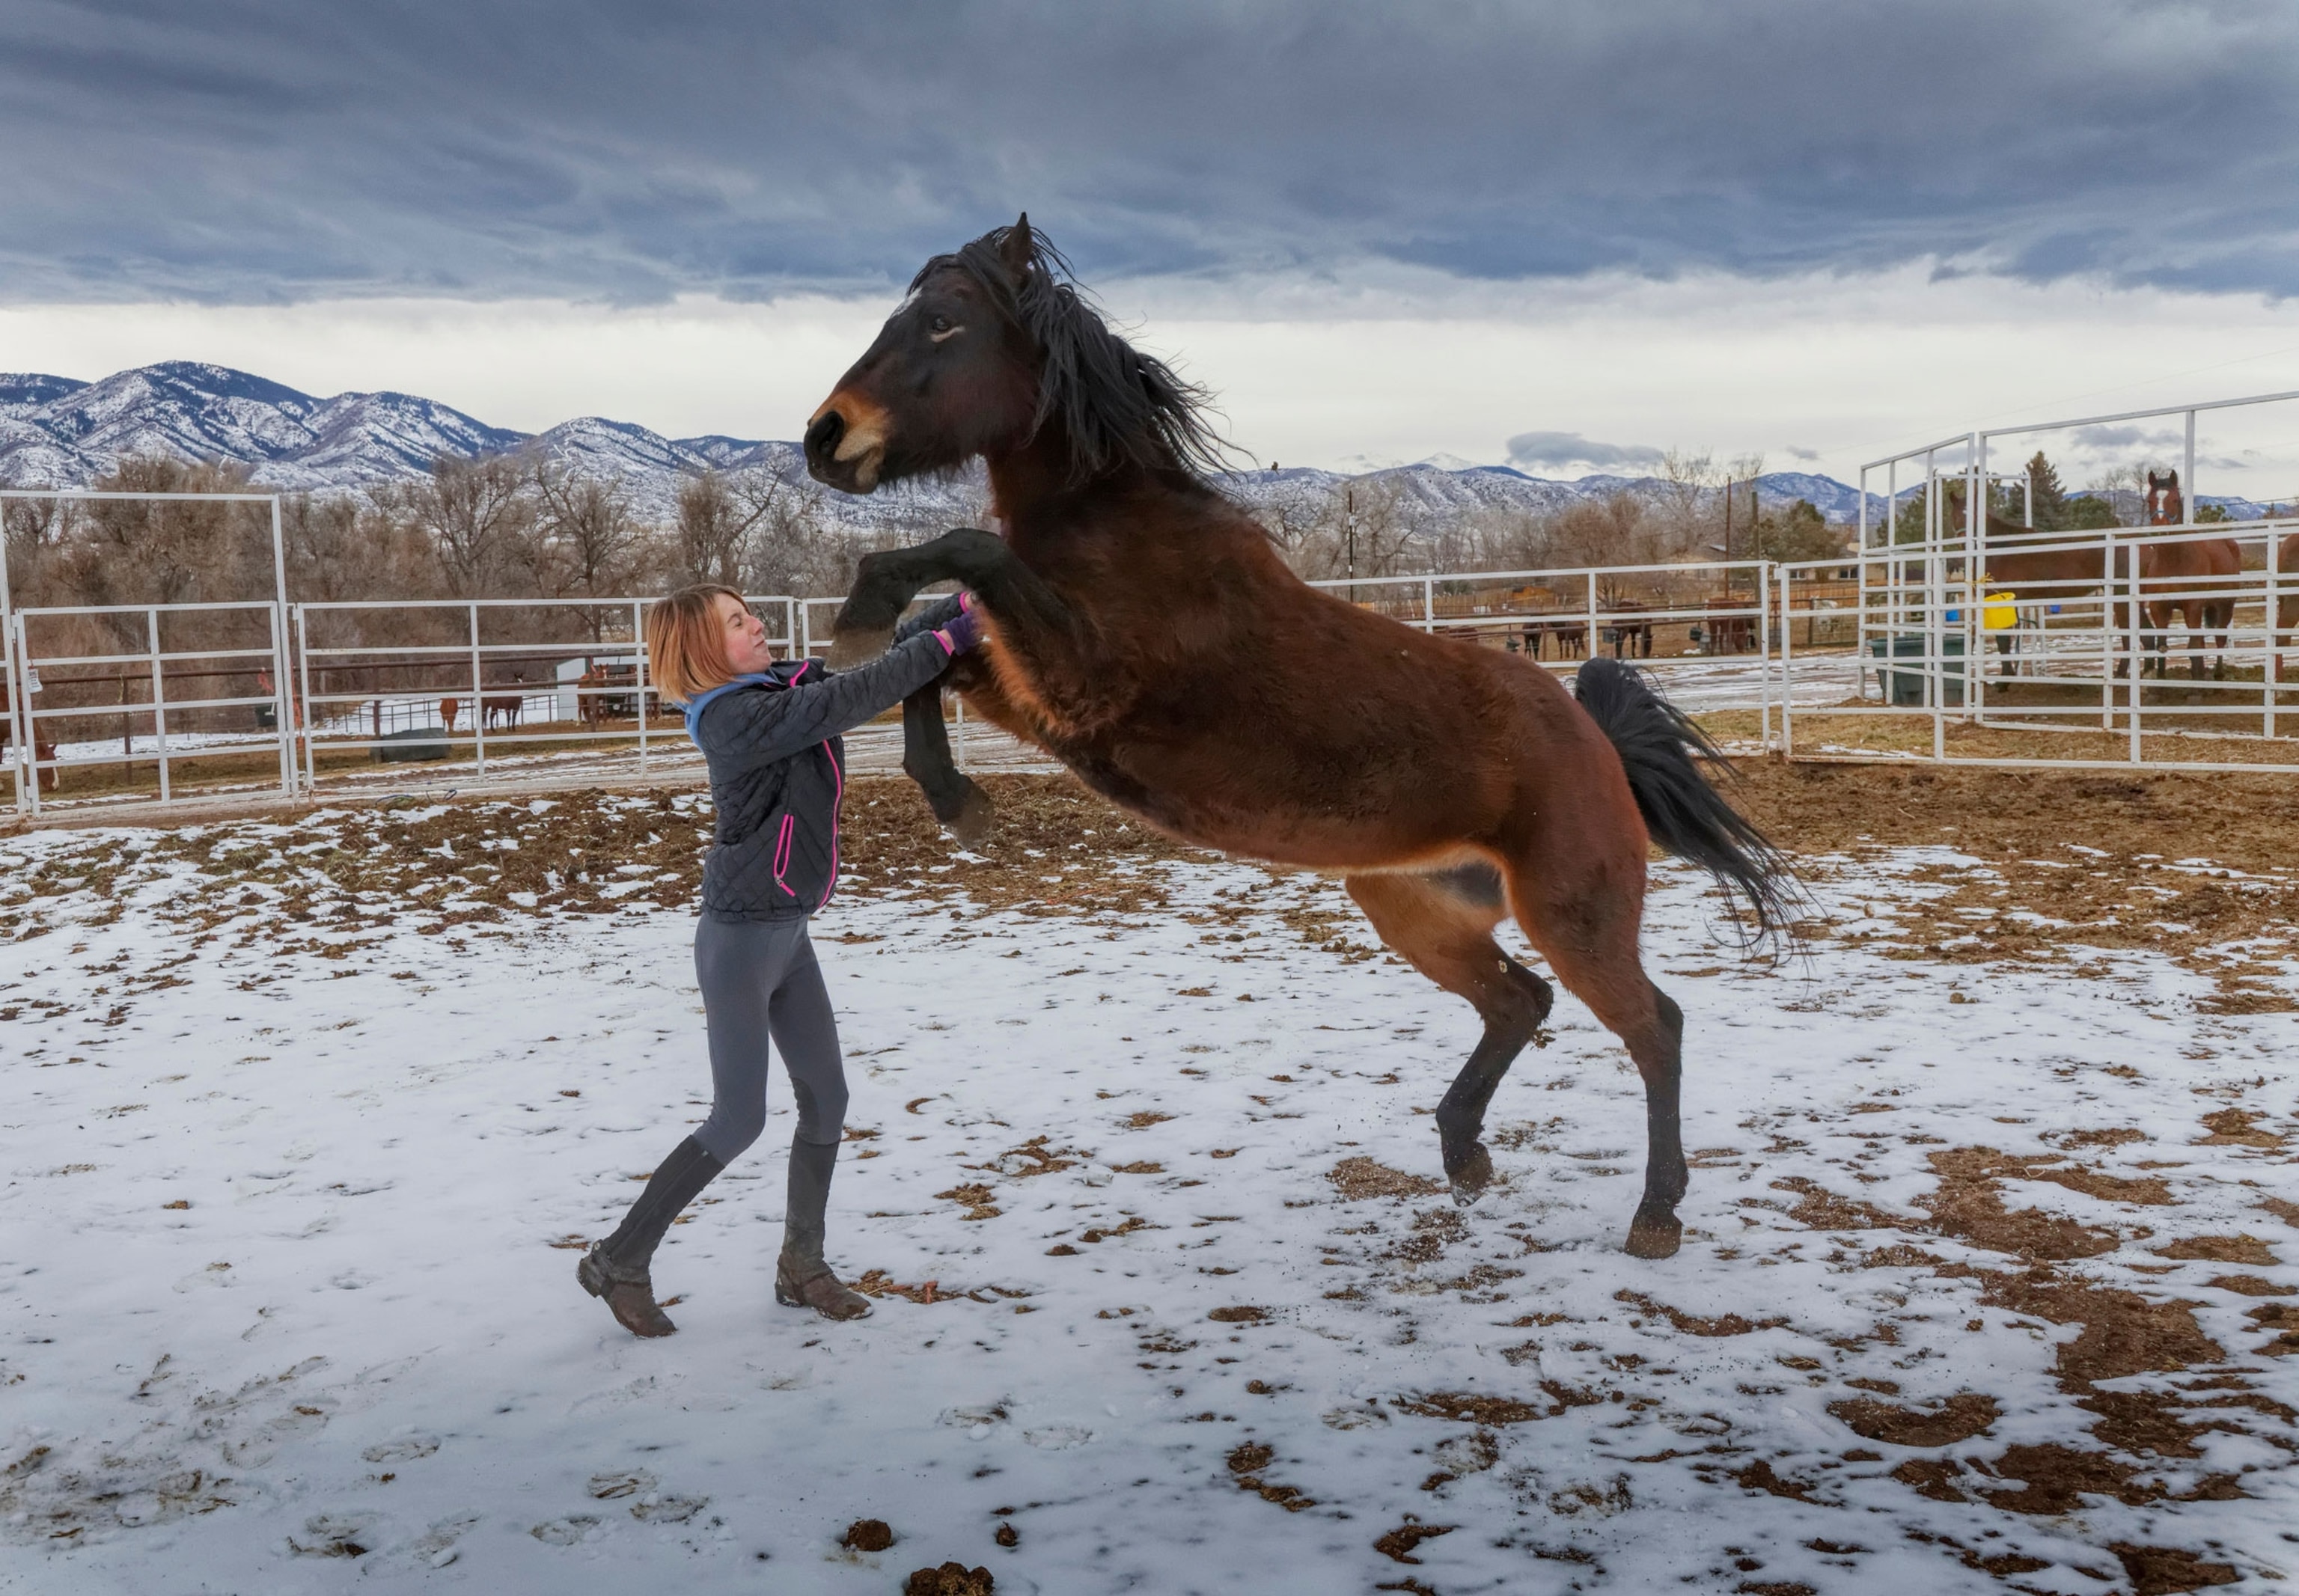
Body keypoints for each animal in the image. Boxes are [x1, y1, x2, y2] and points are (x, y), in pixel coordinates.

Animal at [802, 217, 1797, 1259]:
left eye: (945, 323)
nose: (824, 437)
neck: (1128, 541)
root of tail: (1596, 743)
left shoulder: (1083, 683)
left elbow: (966, 555)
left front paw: (862, 620)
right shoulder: (1038, 697)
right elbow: (932, 646)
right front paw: (957, 800)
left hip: (1573, 912)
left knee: (1655, 1027)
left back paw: (1655, 1214)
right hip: (1412, 907)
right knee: (1521, 1003)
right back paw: (1463, 1155)